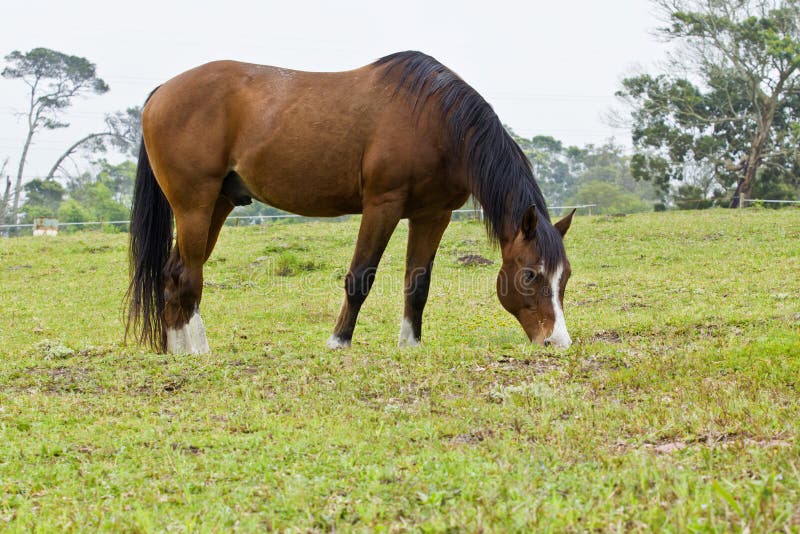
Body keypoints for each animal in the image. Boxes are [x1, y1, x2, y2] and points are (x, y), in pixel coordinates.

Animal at [126, 51, 575, 354]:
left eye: (565, 277)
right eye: (530, 274)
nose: (557, 341)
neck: (436, 120)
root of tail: (162, 92)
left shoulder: (434, 214)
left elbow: (418, 283)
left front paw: (409, 345)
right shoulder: (382, 205)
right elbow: (361, 276)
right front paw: (338, 341)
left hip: (218, 203)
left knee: (172, 275)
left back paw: (179, 351)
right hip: (194, 205)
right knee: (187, 276)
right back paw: (199, 351)